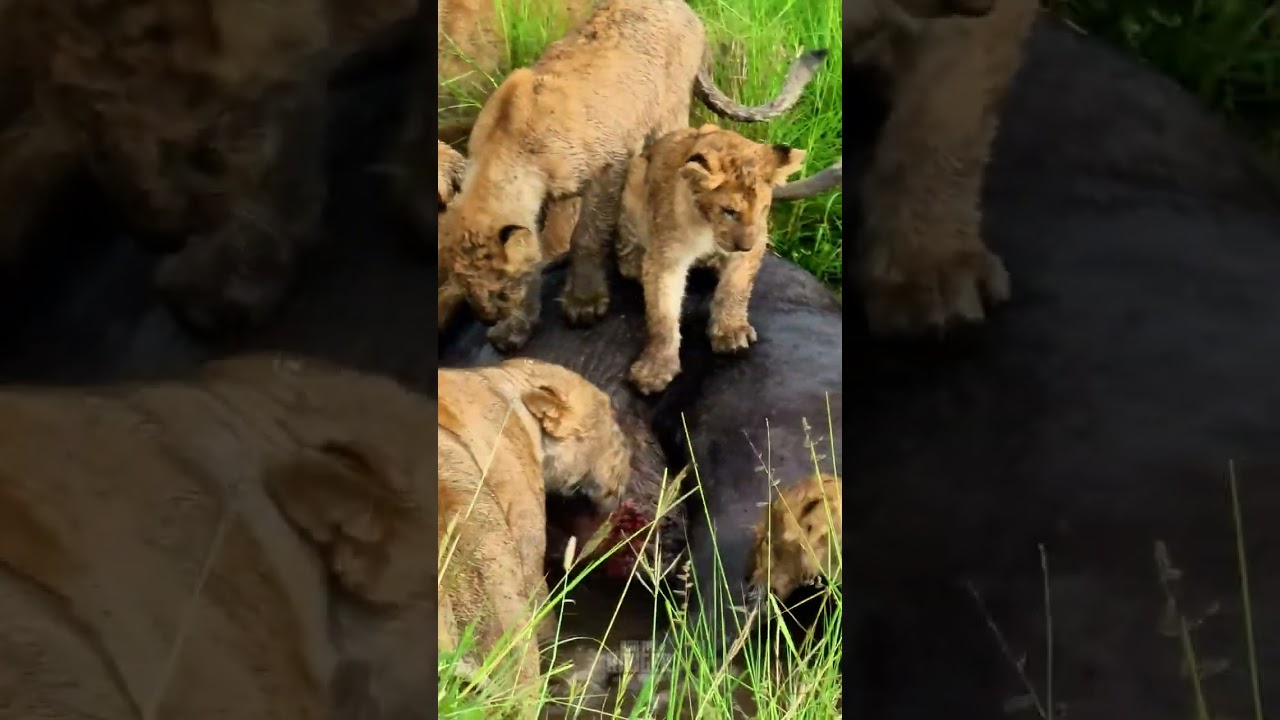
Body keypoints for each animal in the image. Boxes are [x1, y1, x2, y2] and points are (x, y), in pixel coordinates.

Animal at [438, 0, 828, 352]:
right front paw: (516, 327)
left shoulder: (609, 167)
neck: (502, 154)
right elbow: (537, 253)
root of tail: (684, 6)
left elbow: (588, 236)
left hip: (669, 115)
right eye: (463, 284)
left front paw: (584, 302)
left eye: (501, 289)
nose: (485, 317)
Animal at [615, 123, 808, 394]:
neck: (709, 227)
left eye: (763, 209)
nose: (745, 246)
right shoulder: (666, 258)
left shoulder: (757, 241)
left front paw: (730, 332)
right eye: (729, 211)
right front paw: (656, 368)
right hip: (635, 177)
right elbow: (663, 314)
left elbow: (734, 289)